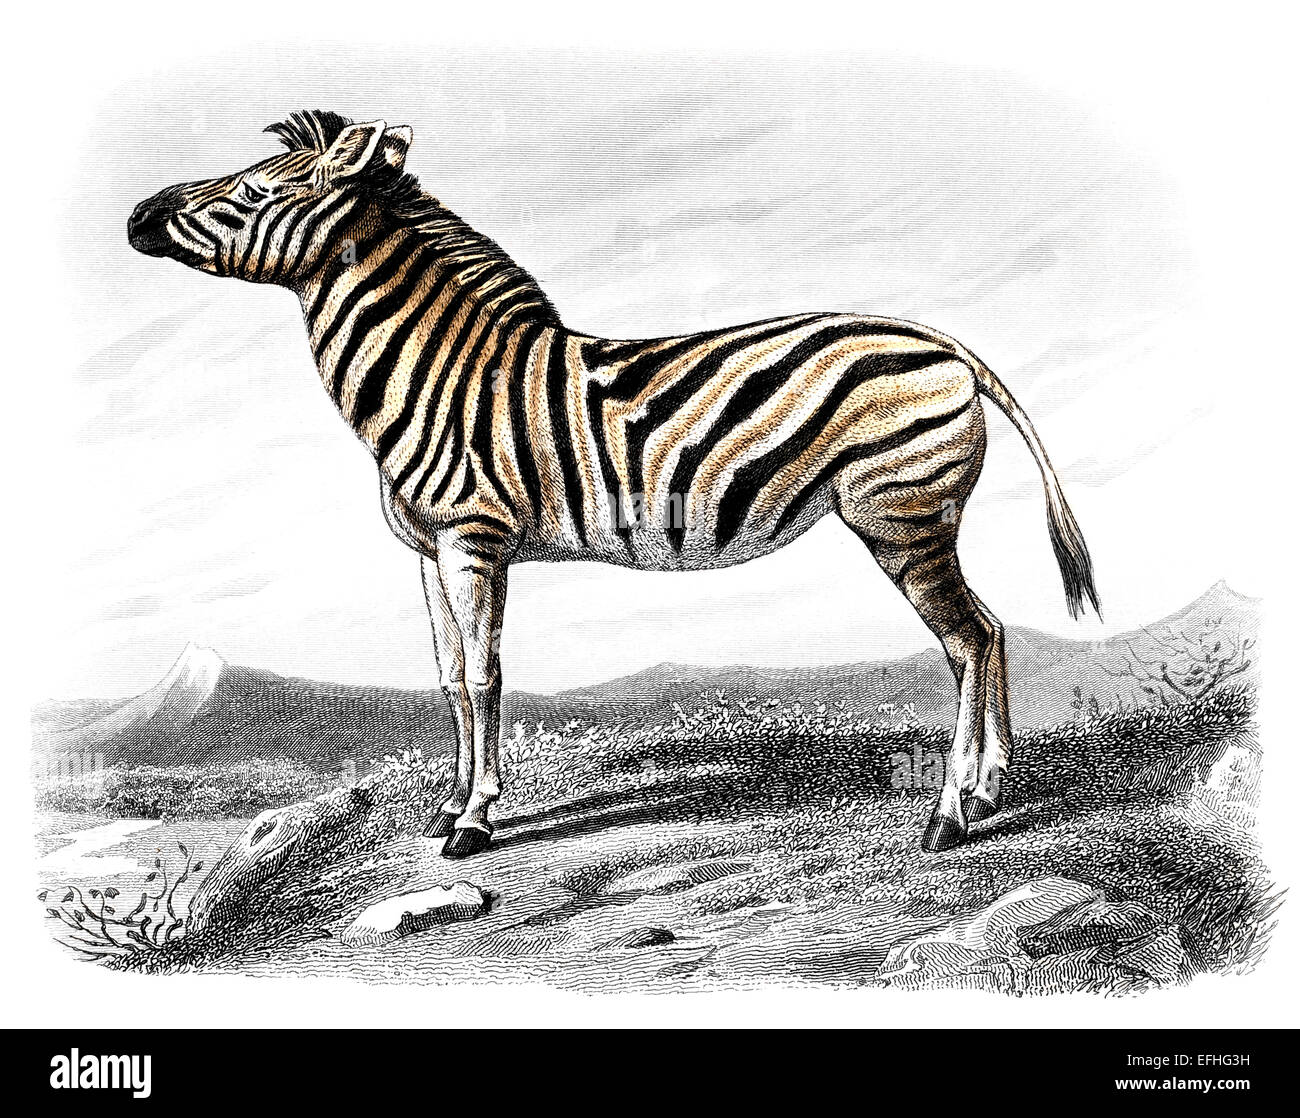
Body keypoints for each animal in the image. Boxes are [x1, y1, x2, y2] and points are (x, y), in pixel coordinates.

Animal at [128, 111, 1100, 857]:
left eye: (254, 193)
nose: (136, 213)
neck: (432, 372)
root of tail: (942, 342)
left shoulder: (473, 539)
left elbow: (485, 673)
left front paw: (475, 823)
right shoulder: (426, 548)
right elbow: (449, 677)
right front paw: (447, 807)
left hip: (898, 512)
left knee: (966, 640)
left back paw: (950, 816)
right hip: (924, 516)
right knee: (992, 629)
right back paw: (993, 791)